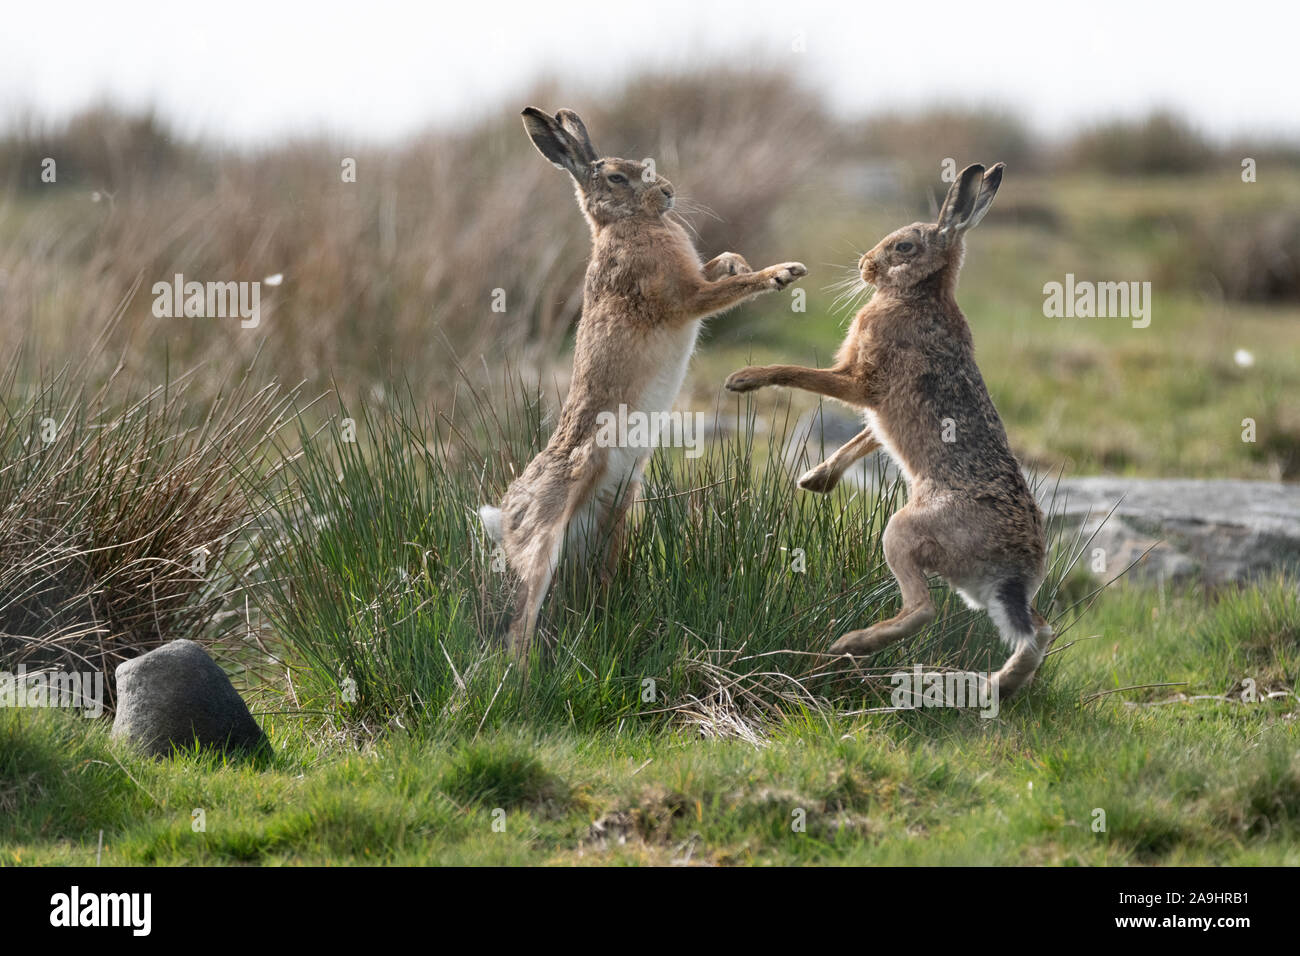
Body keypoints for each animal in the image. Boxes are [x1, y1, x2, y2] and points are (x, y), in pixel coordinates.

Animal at [480, 107, 807, 662]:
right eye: (617, 177)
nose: (669, 193)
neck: (628, 224)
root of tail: (507, 514)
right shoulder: (680, 298)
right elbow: (727, 289)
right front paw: (780, 272)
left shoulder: (692, 280)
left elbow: (720, 266)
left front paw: (739, 260)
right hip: (546, 539)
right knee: (519, 623)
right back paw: (523, 674)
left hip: (612, 518)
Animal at [724, 162, 1053, 698]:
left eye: (903, 247)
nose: (865, 266)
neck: (919, 293)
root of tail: (1017, 562)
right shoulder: (877, 413)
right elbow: (862, 438)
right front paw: (814, 481)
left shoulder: (862, 381)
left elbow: (802, 374)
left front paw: (744, 379)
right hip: (981, 590)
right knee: (1038, 632)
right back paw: (995, 687)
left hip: (903, 532)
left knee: (923, 609)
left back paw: (850, 645)